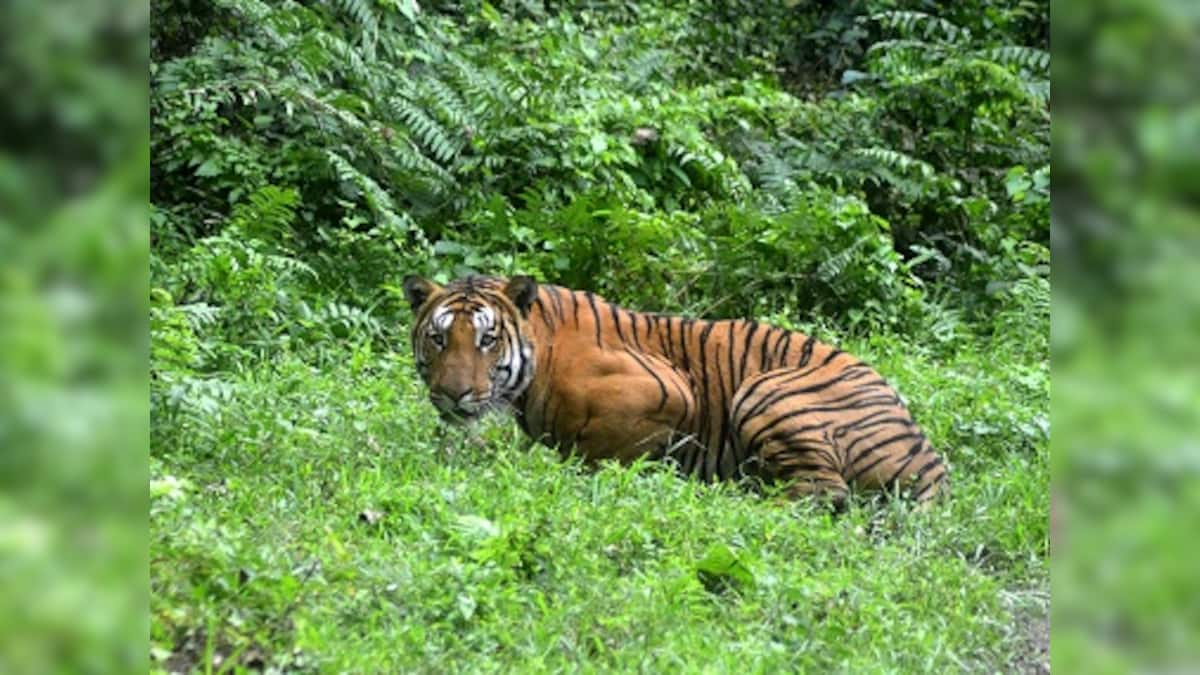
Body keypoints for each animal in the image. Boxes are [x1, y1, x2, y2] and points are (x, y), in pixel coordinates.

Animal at [402, 274, 948, 506]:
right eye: (439, 338)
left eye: (487, 339)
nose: (453, 394)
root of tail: (930, 460)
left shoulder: (669, 390)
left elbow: (598, 452)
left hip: (765, 389)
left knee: (824, 491)